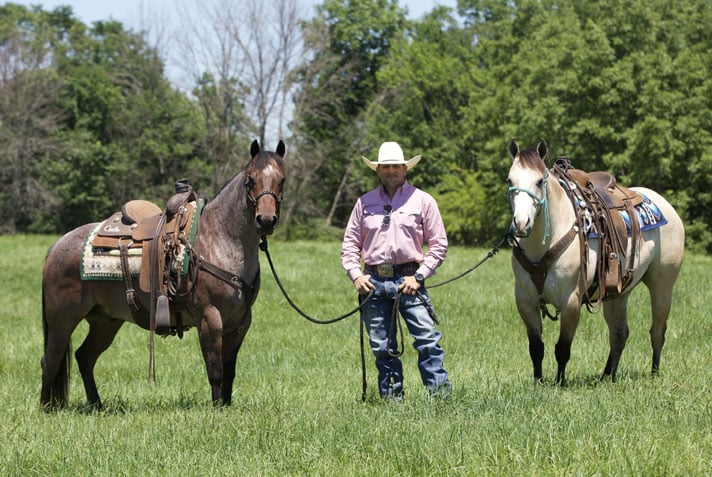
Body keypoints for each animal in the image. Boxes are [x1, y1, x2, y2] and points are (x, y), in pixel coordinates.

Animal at [40, 140, 286, 410]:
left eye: (282, 180)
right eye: (250, 180)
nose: (266, 220)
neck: (220, 239)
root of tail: (57, 245)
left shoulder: (240, 322)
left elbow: (229, 371)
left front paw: (226, 407)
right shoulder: (209, 318)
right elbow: (216, 371)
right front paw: (217, 411)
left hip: (105, 321)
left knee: (84, 357)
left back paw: (96, 404)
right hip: (62, 319)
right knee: (50, 361)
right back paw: (46, 409)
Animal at [506, 139, 684, 384]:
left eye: (539, 181)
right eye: (509, 180)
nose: (521, 223)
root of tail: (664, 204)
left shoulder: (571, 301)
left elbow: (562, 348)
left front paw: (559, 383)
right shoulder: (525, 301)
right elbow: (536, 347)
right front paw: (538, 382)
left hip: (662, 285)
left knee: (657, 330)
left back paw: (654, 374)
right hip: (619, 291)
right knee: (619, 333)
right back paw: (608, 375)